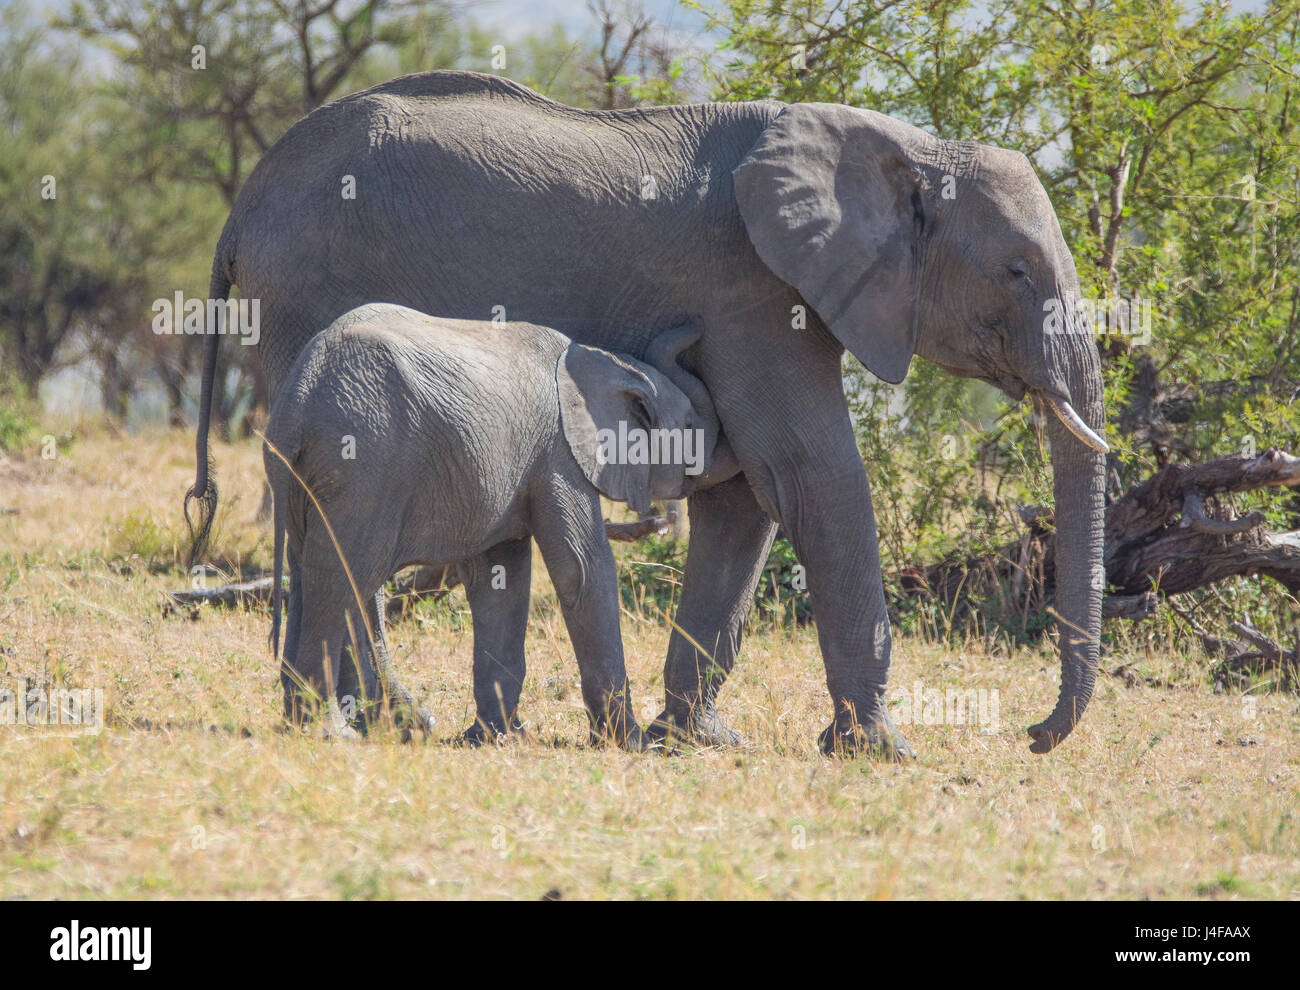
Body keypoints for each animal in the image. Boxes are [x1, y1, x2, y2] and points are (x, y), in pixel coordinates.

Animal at [264, 303, 734, 747]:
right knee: (344, 577)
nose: (696, 321)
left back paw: (314, 725)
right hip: (364, 460)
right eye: (689, 426)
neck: (607, 364)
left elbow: (499, 579)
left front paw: (499, 737)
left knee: (312, 573)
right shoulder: (558, 452)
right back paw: (333, 733)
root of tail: (298, 397)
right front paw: (635, 744)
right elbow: (580, 570)